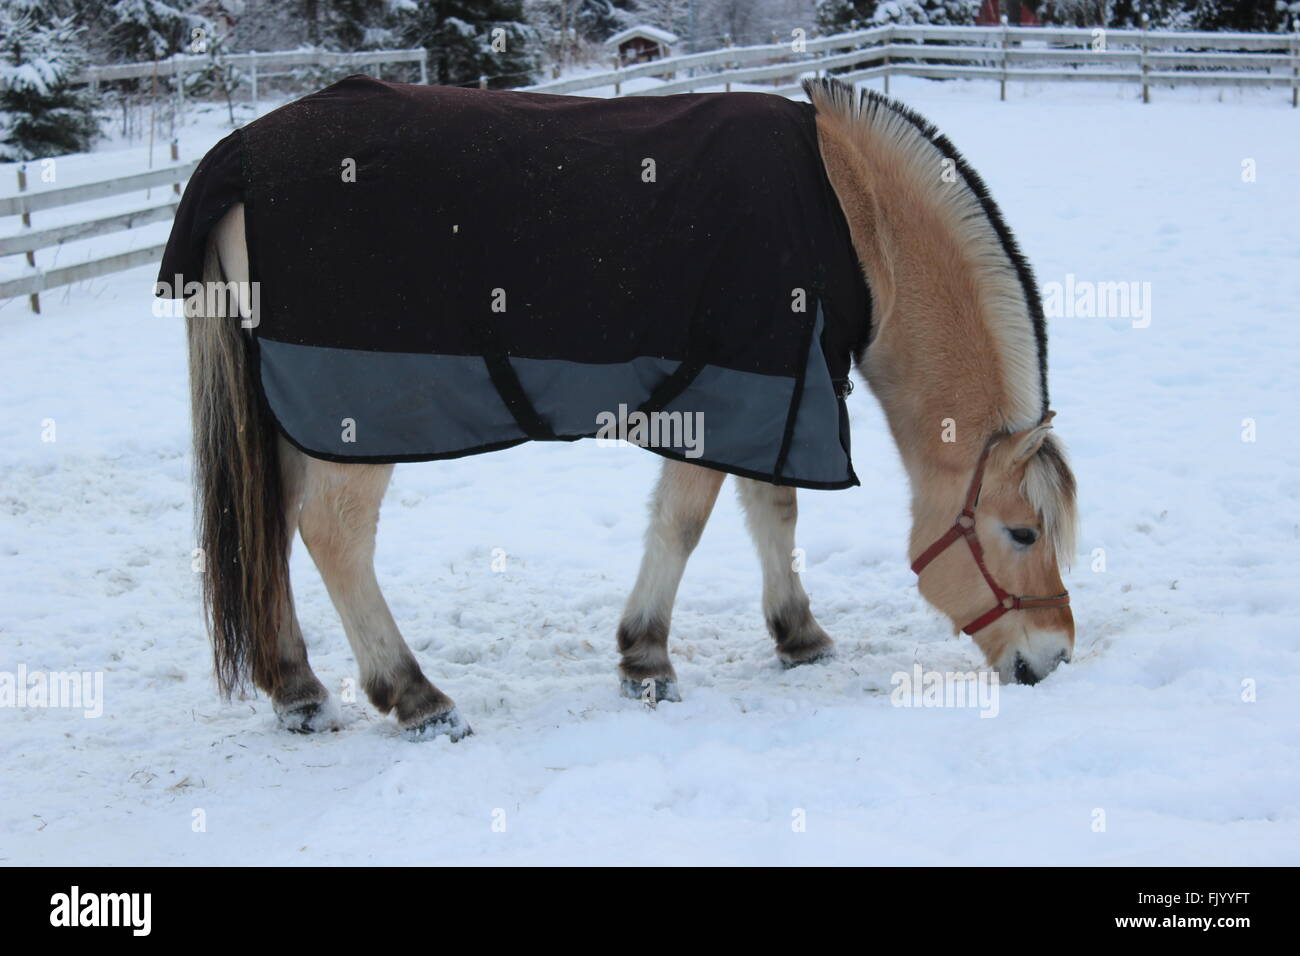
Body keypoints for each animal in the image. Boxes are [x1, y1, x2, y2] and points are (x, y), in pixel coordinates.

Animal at [177, 77, 1077, 740]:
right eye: (1022, 533)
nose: (1055, 657)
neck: (854, 217)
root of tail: (241, 152)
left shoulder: (774, 394)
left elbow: (772, 509)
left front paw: (798, 635)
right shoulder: (725, 393)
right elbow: (685, 523)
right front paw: (647, 658)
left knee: (273, 527)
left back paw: (296, 688)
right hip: (354, 419)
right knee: (331, 533)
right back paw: (414, 696)